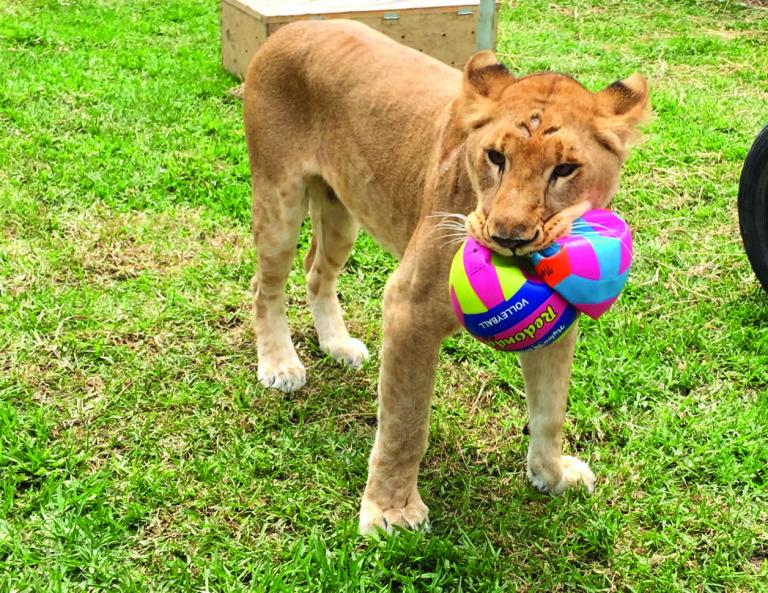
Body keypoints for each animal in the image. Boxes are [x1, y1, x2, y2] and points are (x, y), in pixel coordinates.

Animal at [242, 19, 649, 534]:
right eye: (495, 157)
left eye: (565, 169)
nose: (509, 237)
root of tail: (294, 26)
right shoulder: (407, 308)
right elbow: (406, 421)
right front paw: (391, 512)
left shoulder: (558, 328)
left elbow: (550, 410)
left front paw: (552, 476)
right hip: (279, 199)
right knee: (265, 287)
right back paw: (280, 365)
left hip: (341, 211)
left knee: (317, 273)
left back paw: (337, 345)